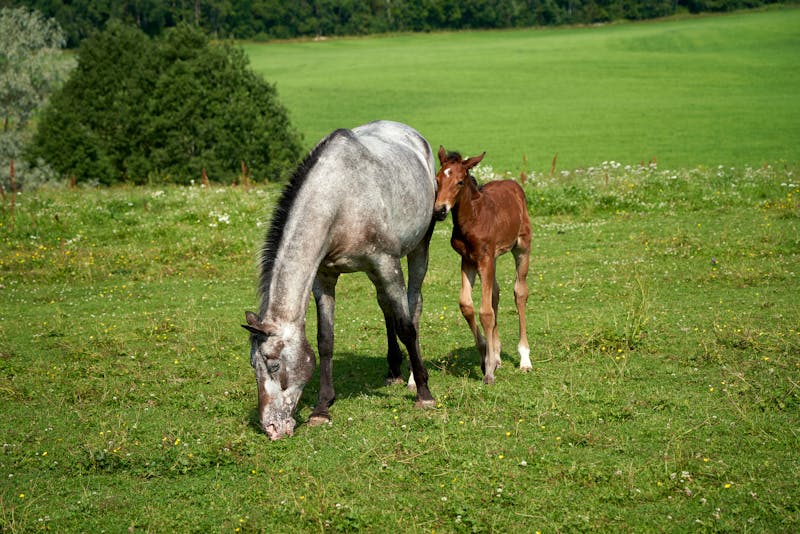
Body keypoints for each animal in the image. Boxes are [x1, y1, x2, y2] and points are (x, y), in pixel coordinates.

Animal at [242, 121, 438, 440]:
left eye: (273, 364)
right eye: (252, 365)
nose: (270, 427)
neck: (340, 200)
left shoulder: (387, 264)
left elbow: (406, 327)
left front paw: (425, 394)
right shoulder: (324, 278)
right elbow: (325, 341)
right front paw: (322, 409)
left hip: (418, 248)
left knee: (413, 305)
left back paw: (411, 378)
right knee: (386, 307)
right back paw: (394, 371)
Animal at [433, 146, 533, 384]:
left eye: (460, 182)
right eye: (437, 179)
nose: (440, 210)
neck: (473, 219)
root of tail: (513, 184)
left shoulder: (485, 259)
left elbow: (486, 312)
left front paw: (488, 371)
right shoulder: (468, 260)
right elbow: (466, 305)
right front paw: (486, 356)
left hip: (522, 247)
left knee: (520, 292)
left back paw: (524, 359)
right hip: (493, 259)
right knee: (496, 292)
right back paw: (497, 355)